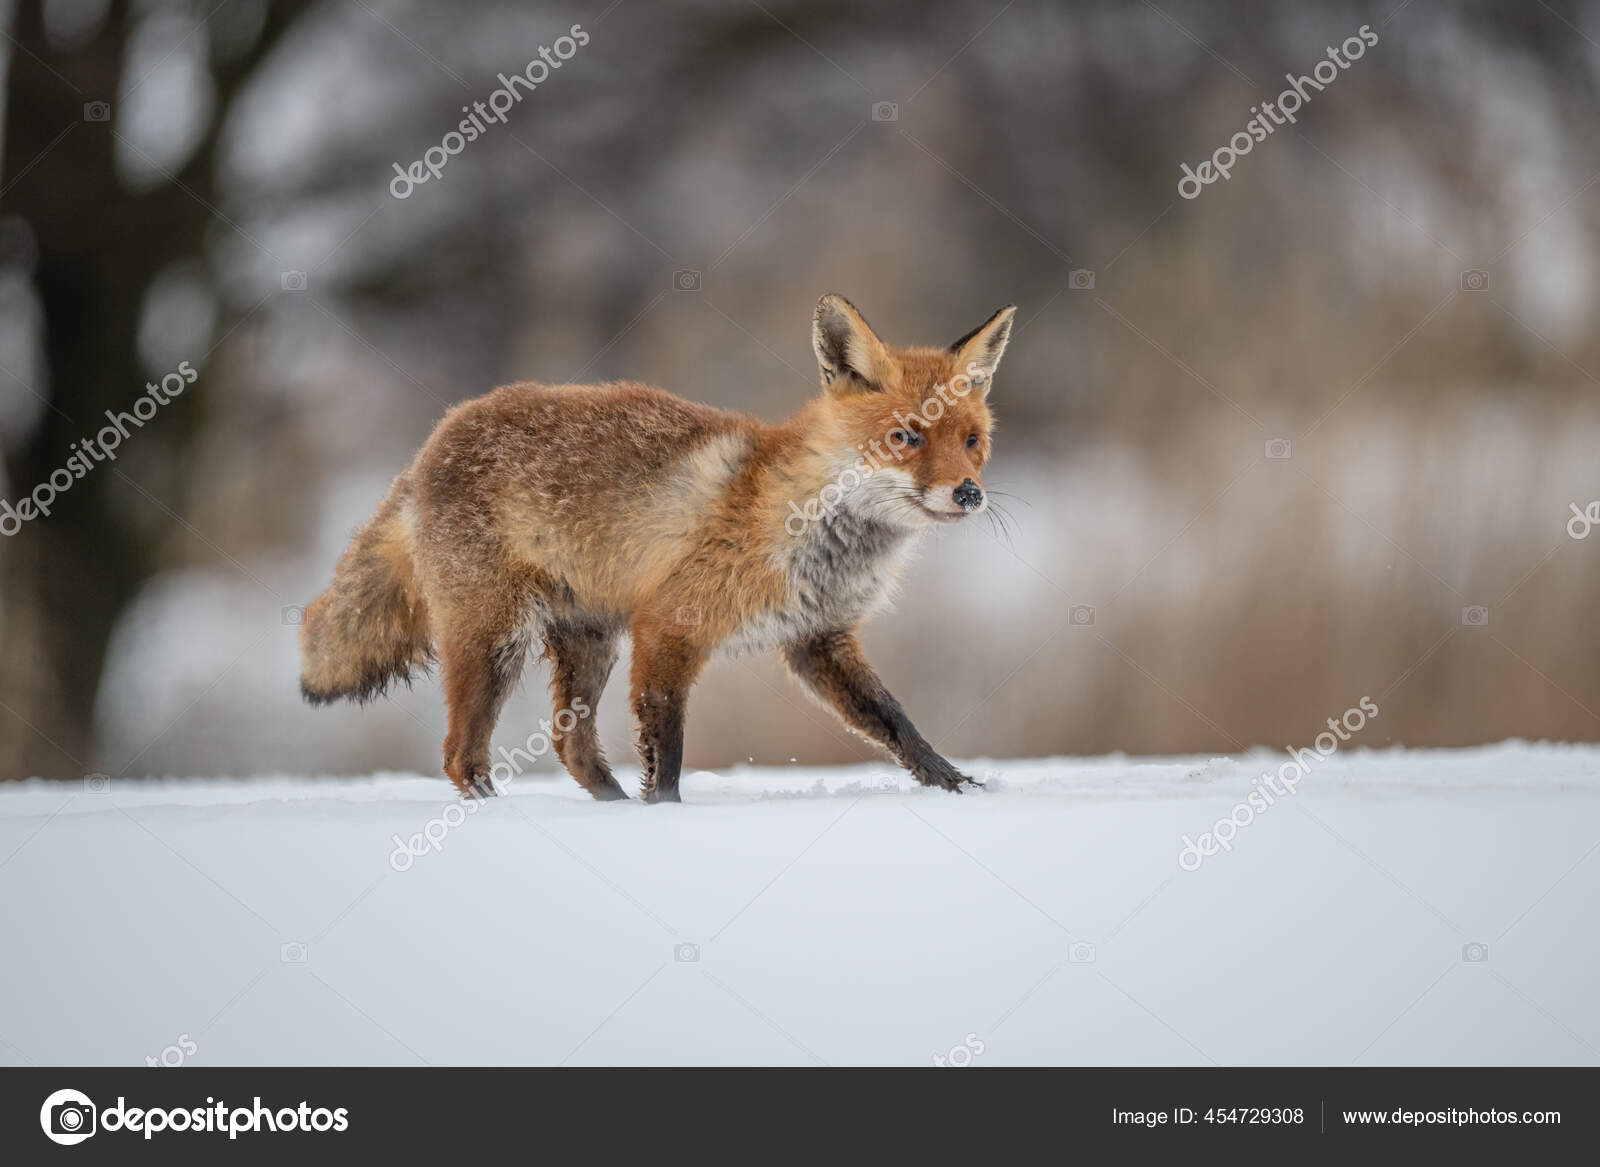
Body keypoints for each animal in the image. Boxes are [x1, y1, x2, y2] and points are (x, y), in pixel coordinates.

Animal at [298, 293, 1015, 803]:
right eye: (906, 437)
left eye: (972, 440)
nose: (969, 493)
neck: (808, 525)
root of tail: (434, 439)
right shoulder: (669, 625)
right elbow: (666, 750)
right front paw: (664, 821)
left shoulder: (818, 639)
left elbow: (896, 722)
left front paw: (958, 787)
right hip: (496, 639)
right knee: (460, 755)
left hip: (587, 640)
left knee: (571, 747)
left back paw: (611, 807)